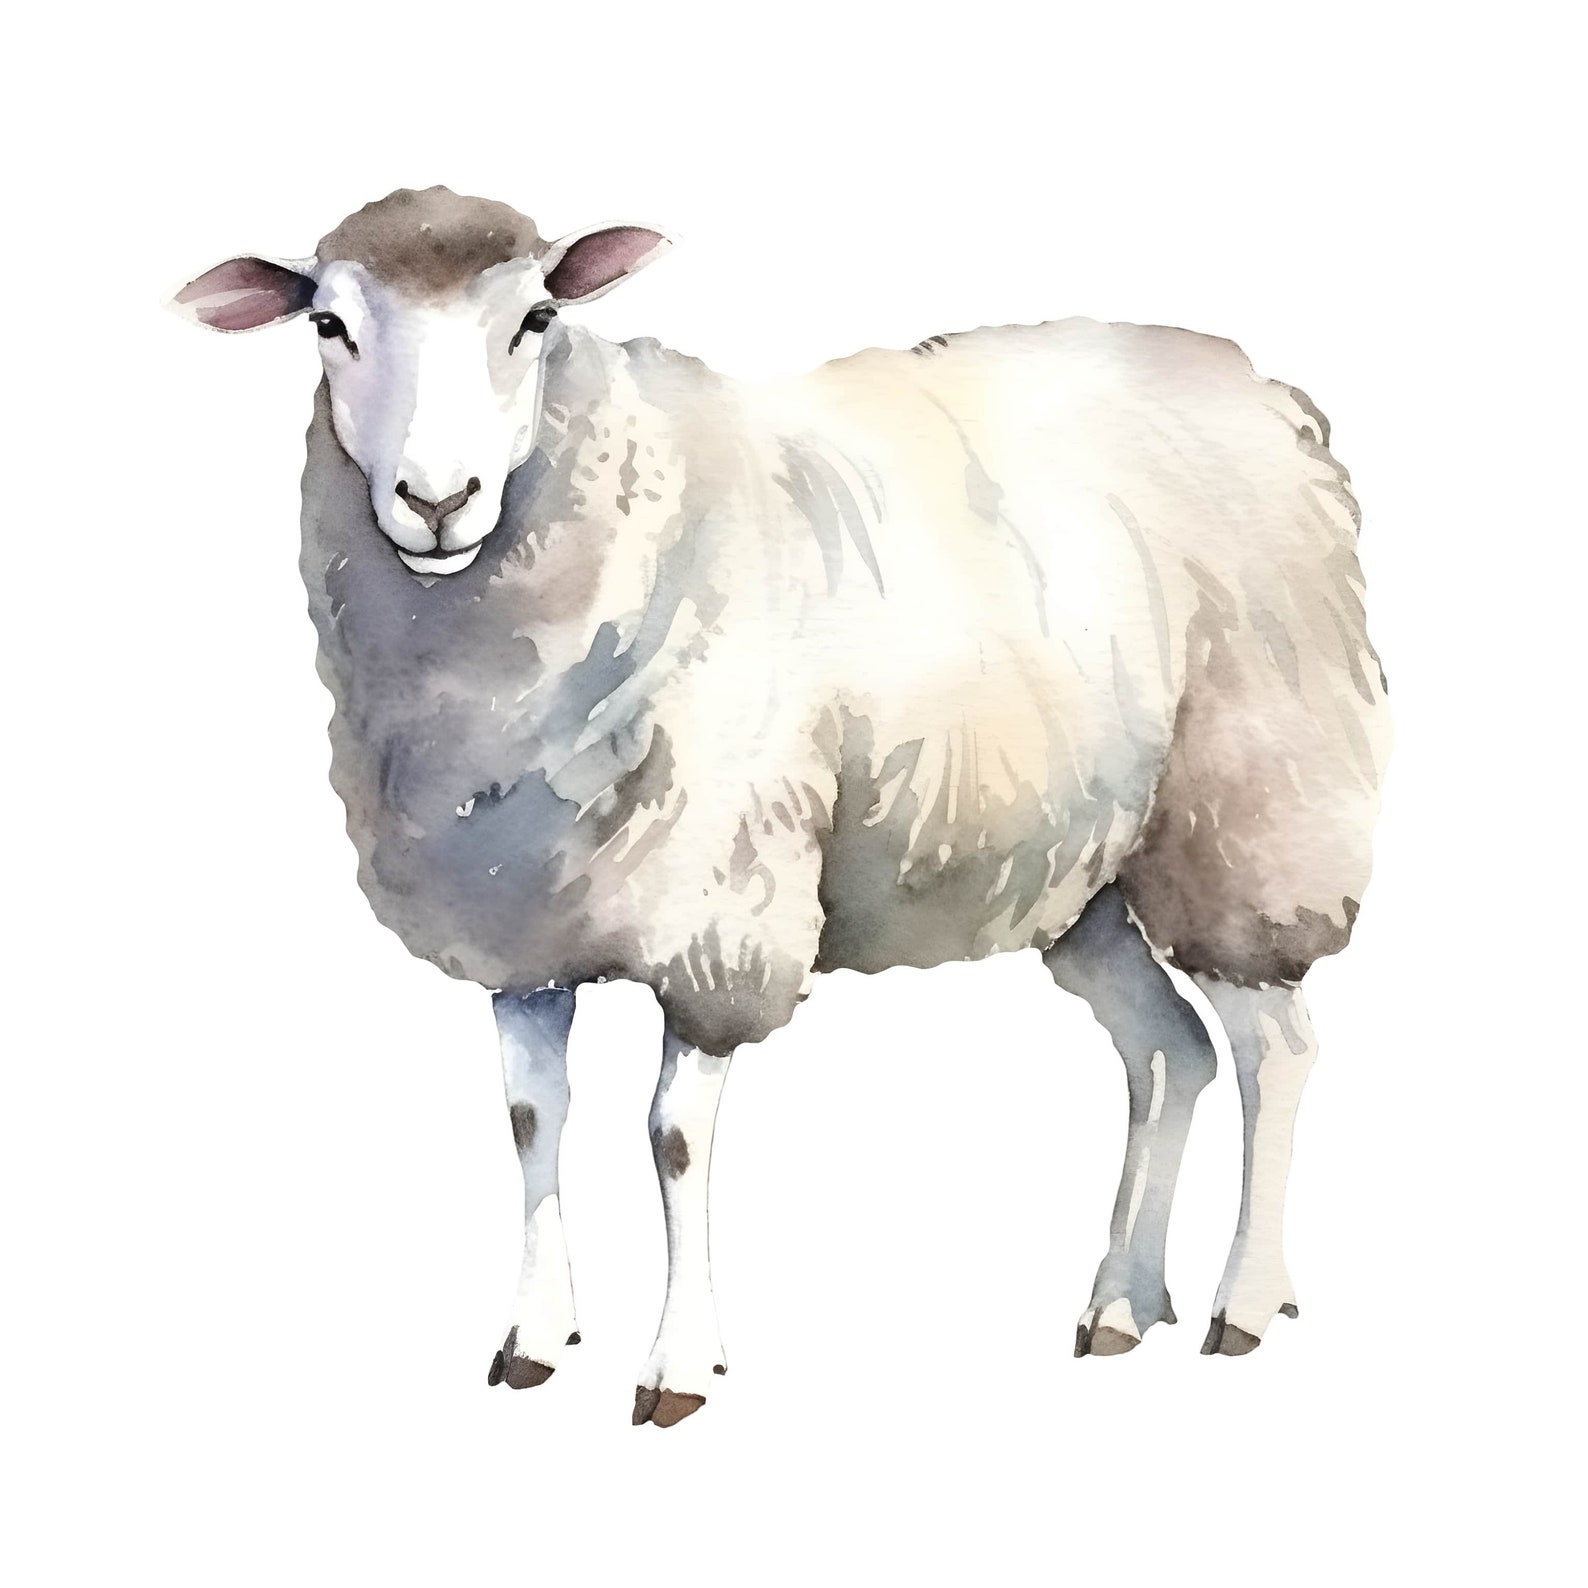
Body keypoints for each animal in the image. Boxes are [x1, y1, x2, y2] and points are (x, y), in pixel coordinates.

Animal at [173, 185, 1390, 1426]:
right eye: (329, 325)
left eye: (536, 318)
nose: (436, 500)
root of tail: (1260, 389)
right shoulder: (518, 917)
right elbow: (529, 1120)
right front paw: (534, 1337)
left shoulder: (719, 909)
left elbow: (671, 1137)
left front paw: (678, 1365)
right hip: (1073, 865)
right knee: (1166, 1051)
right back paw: (1120, 1301)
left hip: (1246, 811)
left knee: (1276, 1046)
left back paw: (1243, 1300)